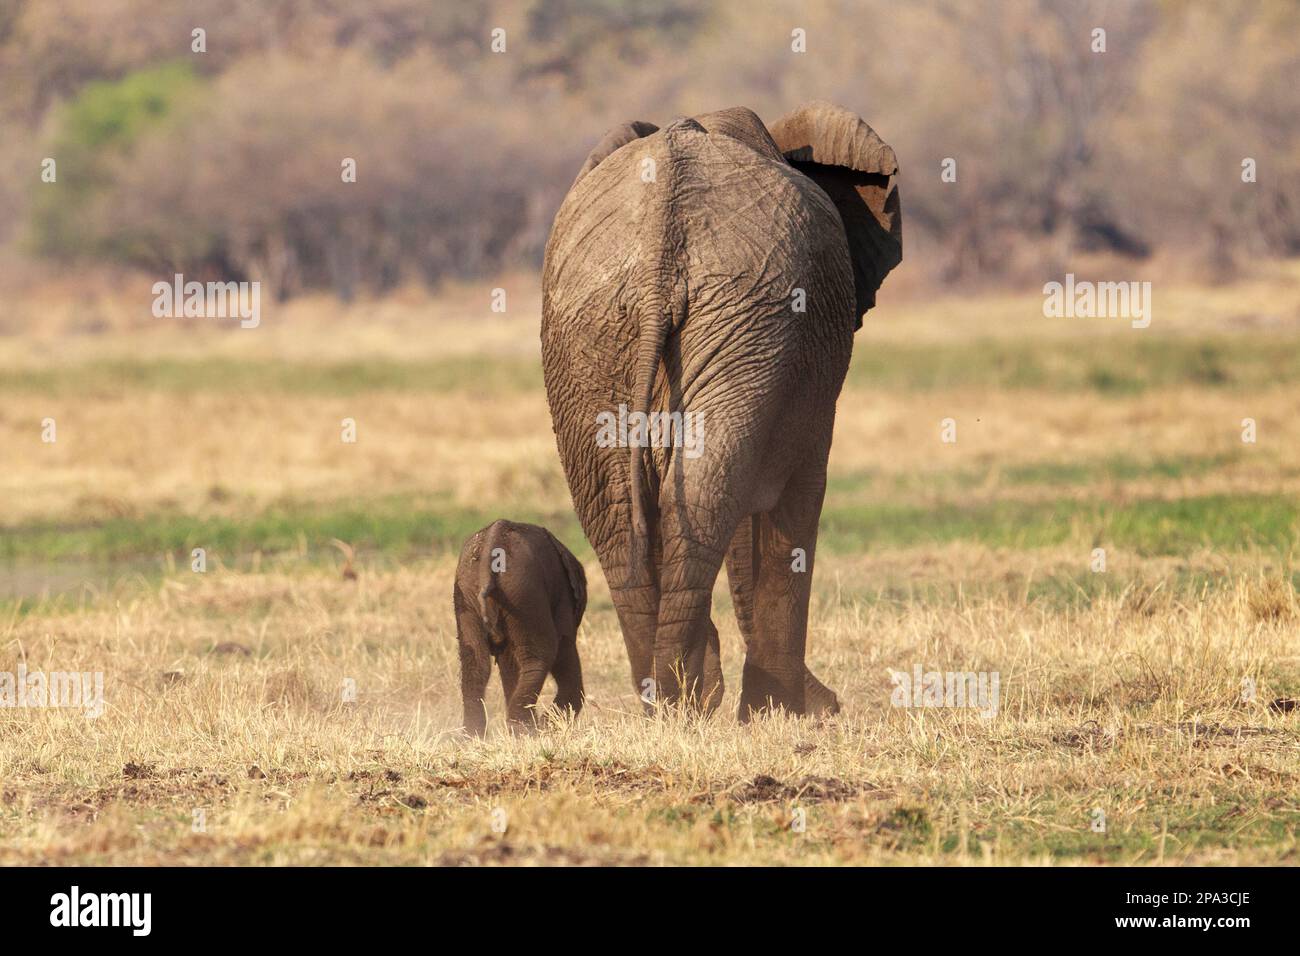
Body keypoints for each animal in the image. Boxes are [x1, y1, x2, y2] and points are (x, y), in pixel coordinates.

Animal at [453, 519, 587, 735]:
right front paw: (547, 726)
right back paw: (527, 730)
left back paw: (474, 736)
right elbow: (564, 646)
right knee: (542, 654)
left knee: (475, 662)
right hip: (524, 590)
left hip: (469, 592)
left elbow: (507, 661)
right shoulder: (562, 602)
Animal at [540, 102, 901, 719]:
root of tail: (659, 250)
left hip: (607, 328)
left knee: (620, 506)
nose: (831, 703)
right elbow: (798, 496)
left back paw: (669, 703)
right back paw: (690, 699)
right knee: (705, 492)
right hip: (735, 317)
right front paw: (790, 712)